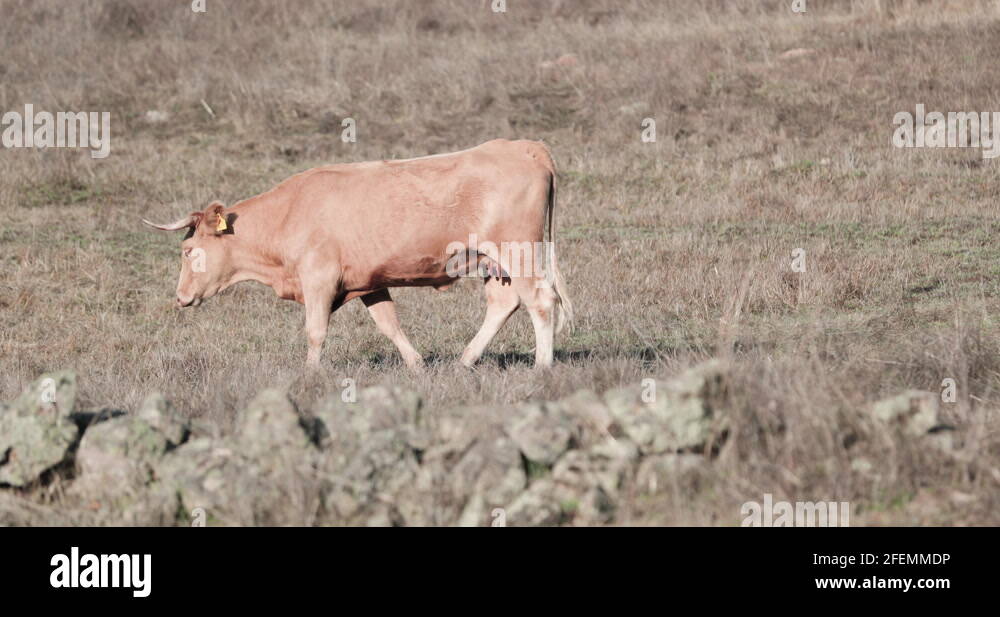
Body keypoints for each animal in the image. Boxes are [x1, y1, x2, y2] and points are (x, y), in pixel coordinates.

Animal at [143, 139, 573, 369]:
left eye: (187, 250)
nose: (180, 297)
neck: (288, 213)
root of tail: (524, 148)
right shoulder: (368, 282)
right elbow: (389, 324)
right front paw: (416, 365)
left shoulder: (318, 279)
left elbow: (315, 331)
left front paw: (310, 374)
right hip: (495, 263)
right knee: (504, 303)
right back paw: (465, 360)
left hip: (518, 252)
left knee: (540, 301)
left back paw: (542, 365)